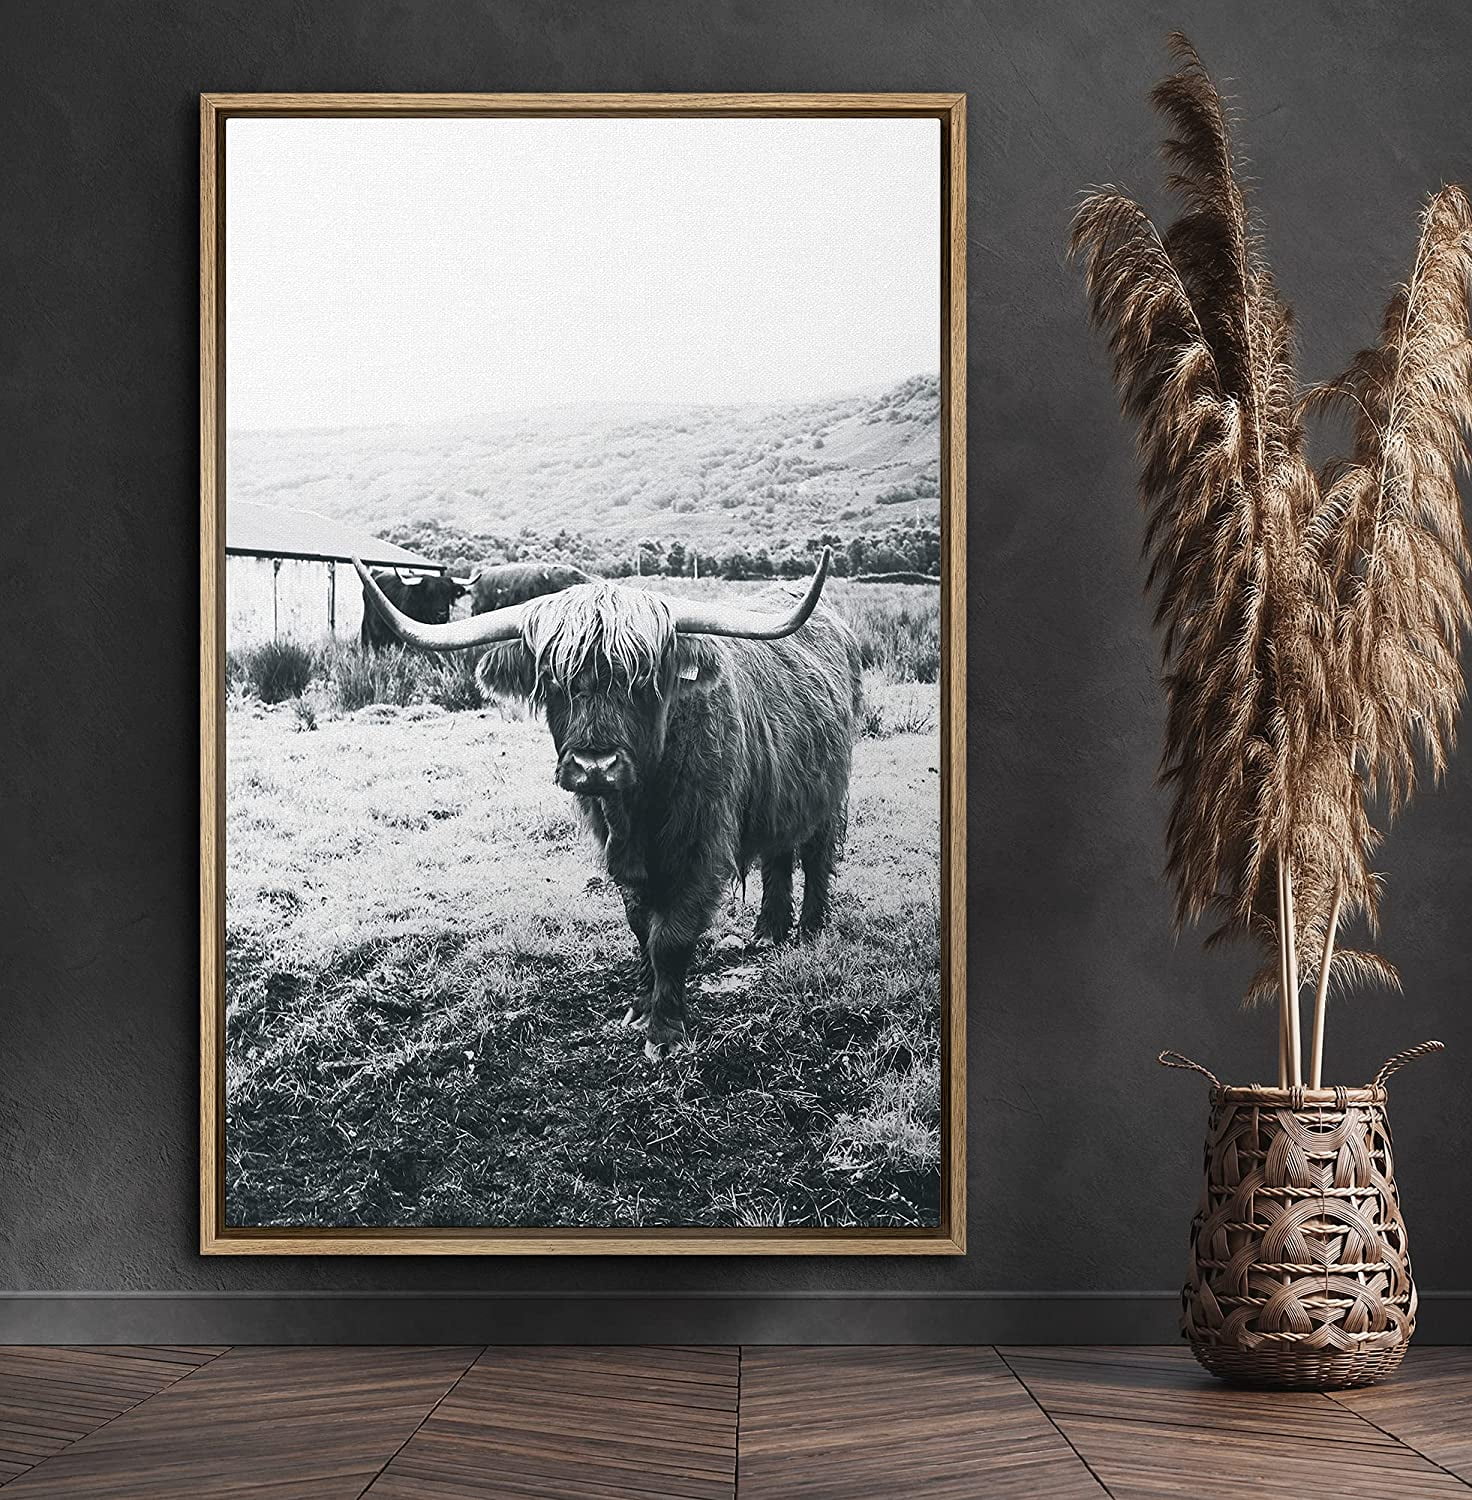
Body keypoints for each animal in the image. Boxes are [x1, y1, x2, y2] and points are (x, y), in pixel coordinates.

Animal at [355, 551, 860, 1058]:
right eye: (553, 679)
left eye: (644, 679)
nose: (594, 765)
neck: (637, 808)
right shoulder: (621, 853)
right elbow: (640, 925)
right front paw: (641, 1003)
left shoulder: (702, 844)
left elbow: (671, 936)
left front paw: (665, 1029)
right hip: (785, 790)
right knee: (779, 853)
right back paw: (769, 931)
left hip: (830, 789)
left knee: (816, 854)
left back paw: (810, 931)